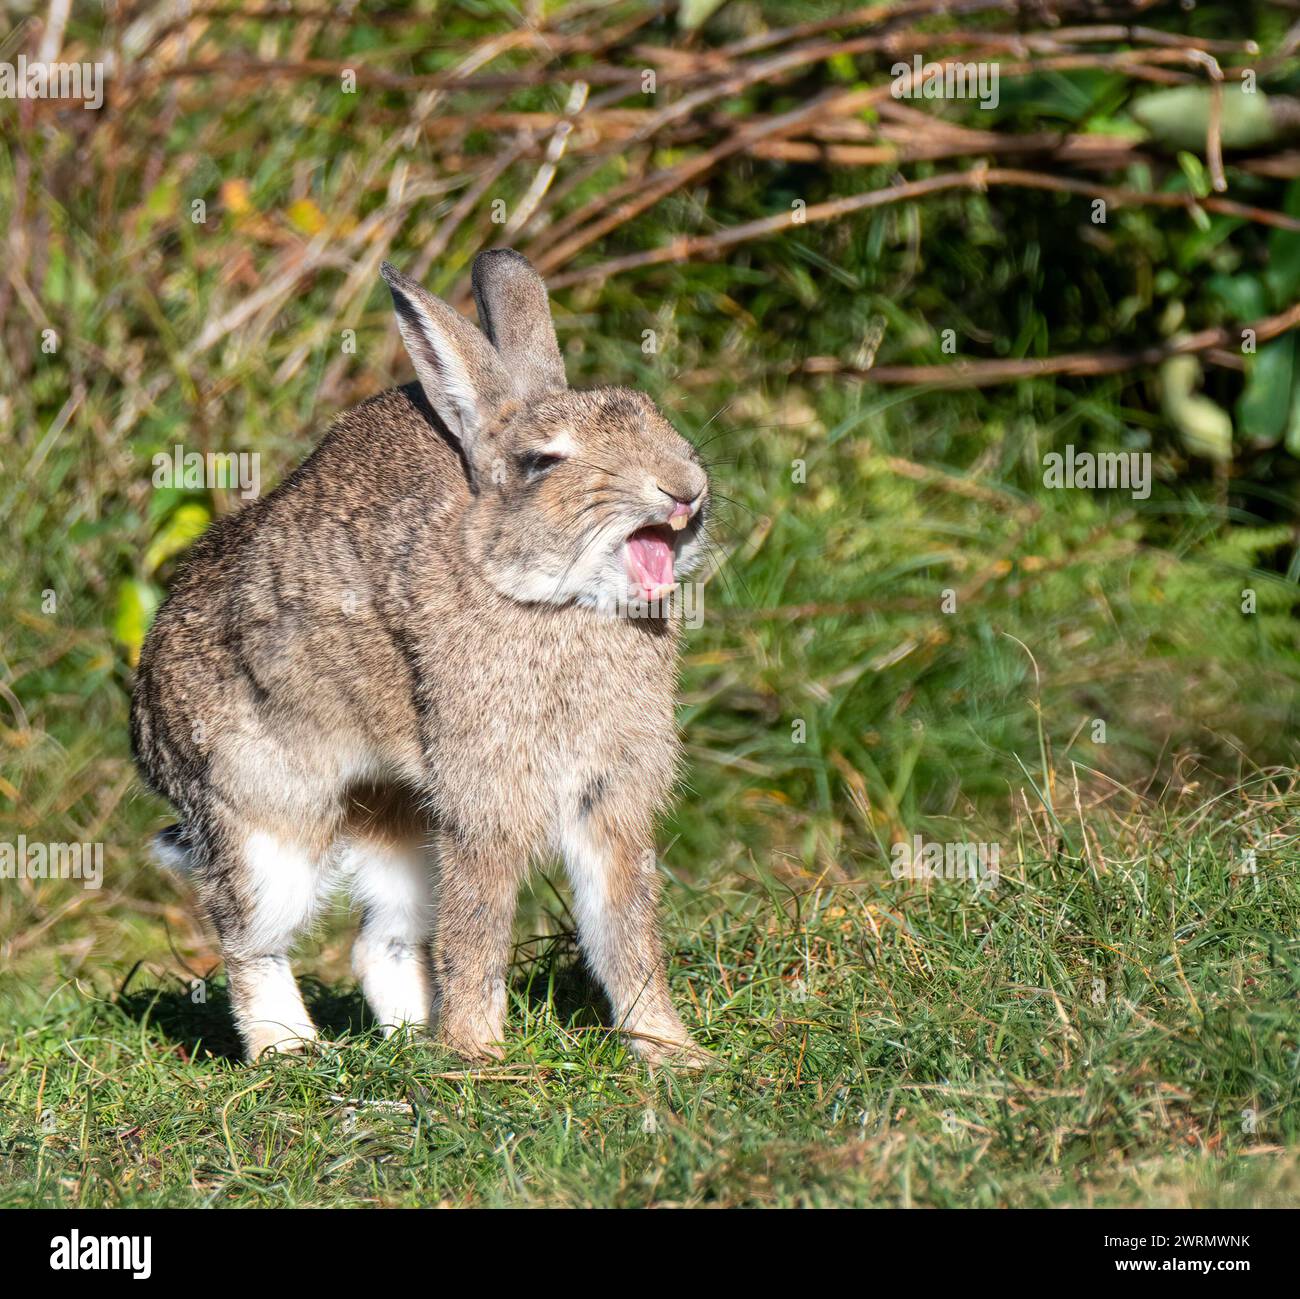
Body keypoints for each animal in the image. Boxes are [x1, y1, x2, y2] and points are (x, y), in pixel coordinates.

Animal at [130, 249, 713, 1067]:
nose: (685, 489)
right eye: (544, 462)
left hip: (396, 819)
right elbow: (480, 925)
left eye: (656, 417)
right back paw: (293, 1053)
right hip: (263, 819)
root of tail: (145, 723)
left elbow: (625, 928)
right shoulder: (485, 796)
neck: (546, 598)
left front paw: (670, 1049)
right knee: (252, 943)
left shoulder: (611, 795)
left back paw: (413, 1041)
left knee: (384, 940)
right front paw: (480, 1055)